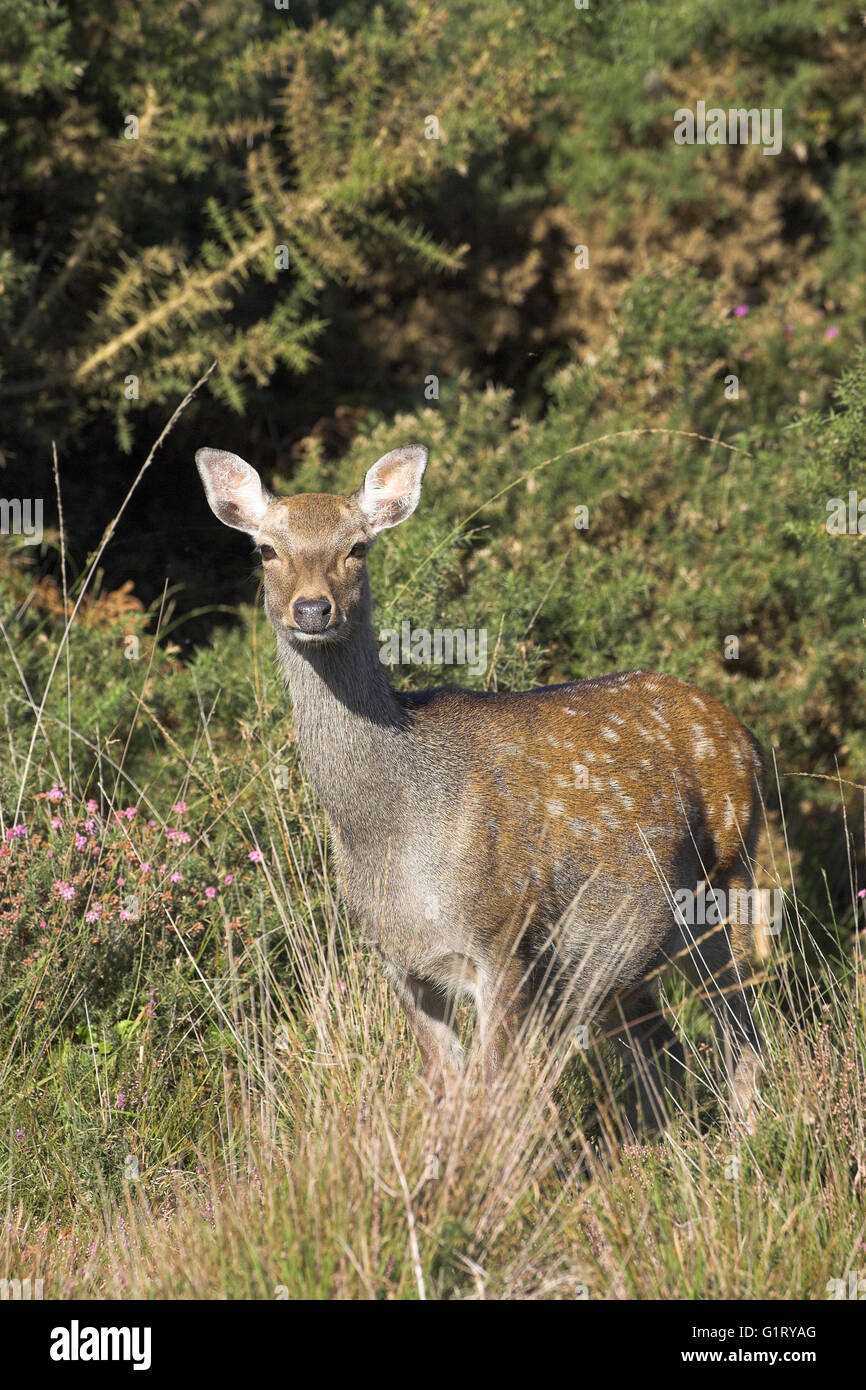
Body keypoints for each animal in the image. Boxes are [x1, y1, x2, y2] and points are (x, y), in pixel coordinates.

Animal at [196, 442, 765, 1134]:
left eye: (358, 547)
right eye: (266, 550)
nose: (312, 608)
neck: (393, 830)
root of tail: (743, 736)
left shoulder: (504, 940)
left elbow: (493, 1098)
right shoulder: (404, 964)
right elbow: (445, 1090)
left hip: (728, 878)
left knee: (742, 1032)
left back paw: (747, 1140)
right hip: (623, 955)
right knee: (666, 1045)